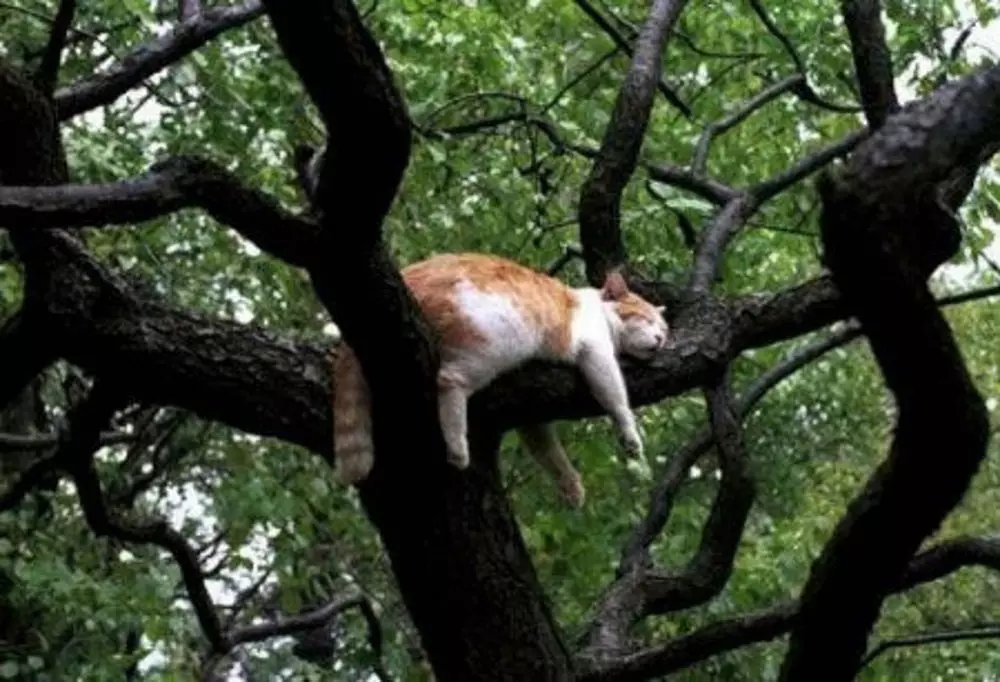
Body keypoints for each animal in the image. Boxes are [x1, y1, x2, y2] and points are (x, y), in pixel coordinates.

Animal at [332, 251, 668, 504]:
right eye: (646, 319)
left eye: (663, 329)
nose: (661, 339)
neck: (592, 305)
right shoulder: (596, 351)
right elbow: (616, 399)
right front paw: (630, 435)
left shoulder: (533, 414)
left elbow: (548, 451)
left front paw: (570, 486)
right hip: (498, 341)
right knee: (450, 380)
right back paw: (457, 447)